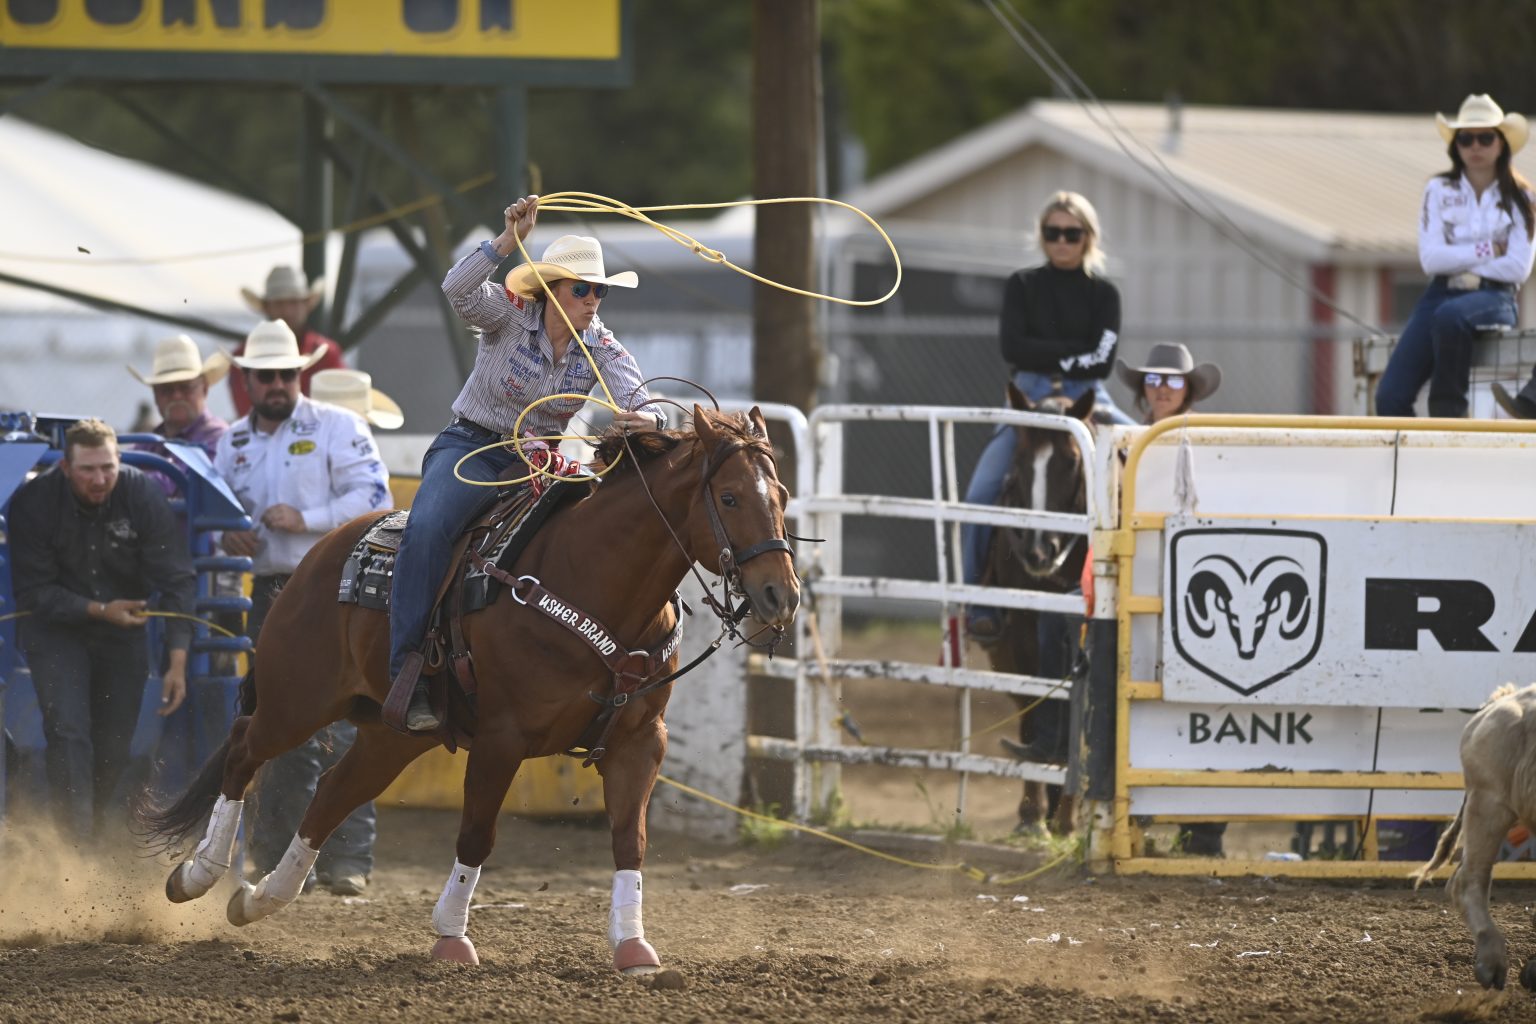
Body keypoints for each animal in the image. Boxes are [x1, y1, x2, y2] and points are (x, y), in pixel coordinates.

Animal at [141, 406, 799, 973]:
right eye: (729, 496)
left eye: (784, 497)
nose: (781, 596)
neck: (590, 577)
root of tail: (315, 557)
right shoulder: (502, 739)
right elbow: (477, 835)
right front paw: (451, 936)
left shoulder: (641, 740)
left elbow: (629, 839)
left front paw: (633, 947)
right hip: (297, 700)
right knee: (243, 748)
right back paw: (198, 874)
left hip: (393, 733)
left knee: (330, 792)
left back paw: (260, 898)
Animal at [979, 383, 1094, 837]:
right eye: (1020, 462)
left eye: (1072, 461)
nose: (1038, 549)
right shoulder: (1022, 625)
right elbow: (1033, 708)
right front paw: (1031, 814)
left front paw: (1066, 816)